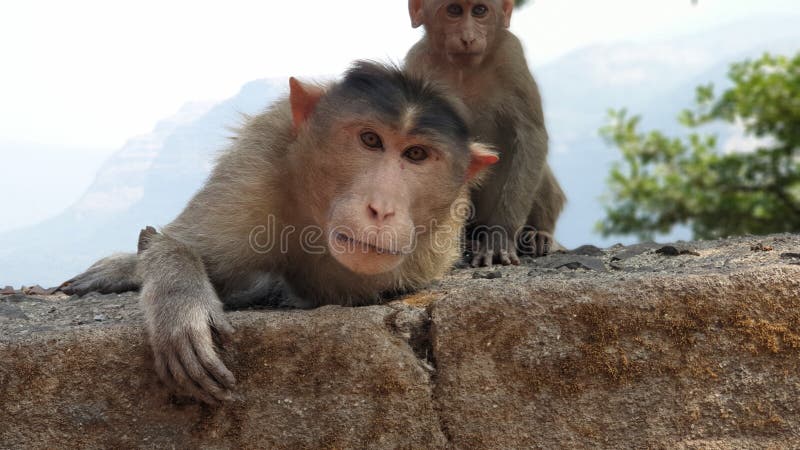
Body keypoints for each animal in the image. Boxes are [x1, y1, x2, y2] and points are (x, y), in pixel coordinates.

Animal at [59, 61, 499, 404]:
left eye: (416, 154)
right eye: (370, 140)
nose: (381, 208)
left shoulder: (426, 257)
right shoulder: (254, 168)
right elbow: (175, 244)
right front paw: (182, 308)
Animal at [404, 0, 566, 267]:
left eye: (480, 10)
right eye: (453, 11)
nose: (468, 37)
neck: (464, 69)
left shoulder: (511, 55)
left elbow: (531, 136)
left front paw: (500, 239)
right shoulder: (417, 65)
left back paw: (536, 234)